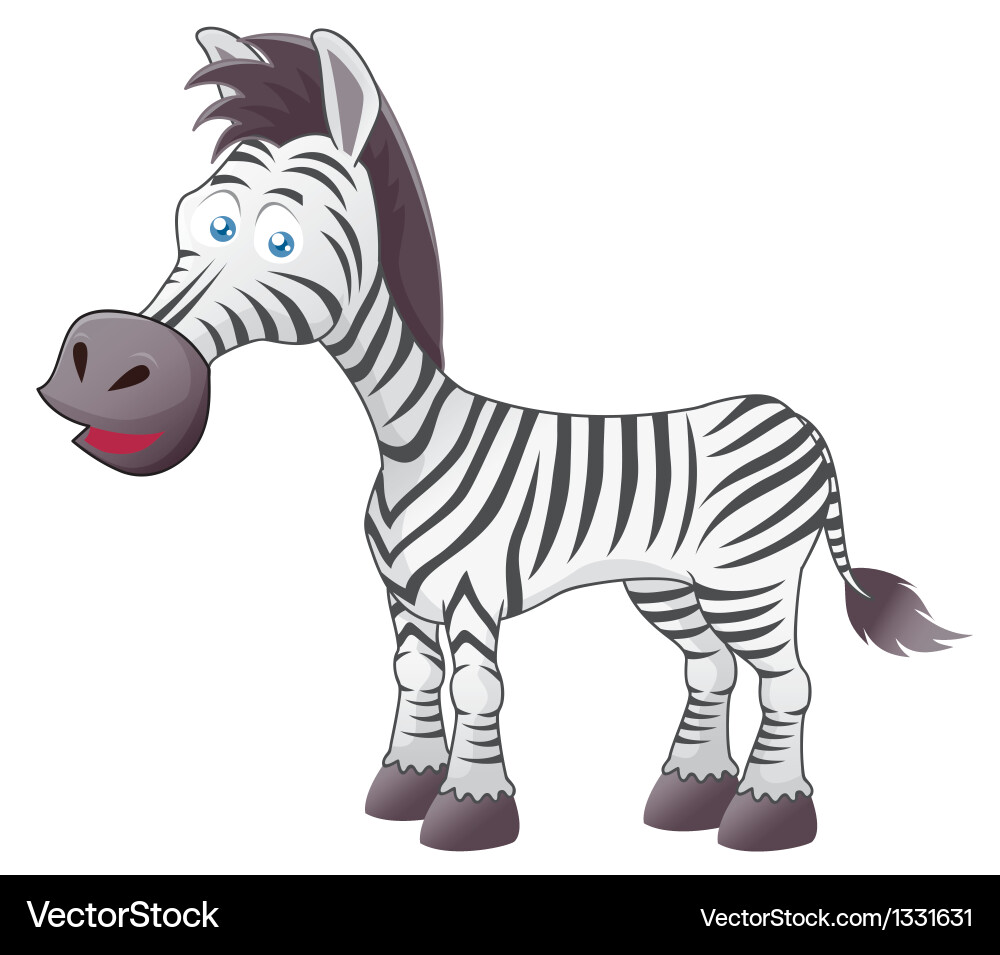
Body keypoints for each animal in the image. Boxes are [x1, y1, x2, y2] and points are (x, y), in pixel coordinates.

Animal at [39, 29, 966, 852]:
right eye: (195, 220)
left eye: (279, 238)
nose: (104, 362)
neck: (407, 438)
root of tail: (798, 419)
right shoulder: (406, 595)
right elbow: (416, 676)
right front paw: (402, 784)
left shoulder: (473, 592)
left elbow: (480, 686)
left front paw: (471, 811)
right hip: (668, 584)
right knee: (712, 668)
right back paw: (687, 795)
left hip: (752, 577)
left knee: (789, 680)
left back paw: (769, 814)